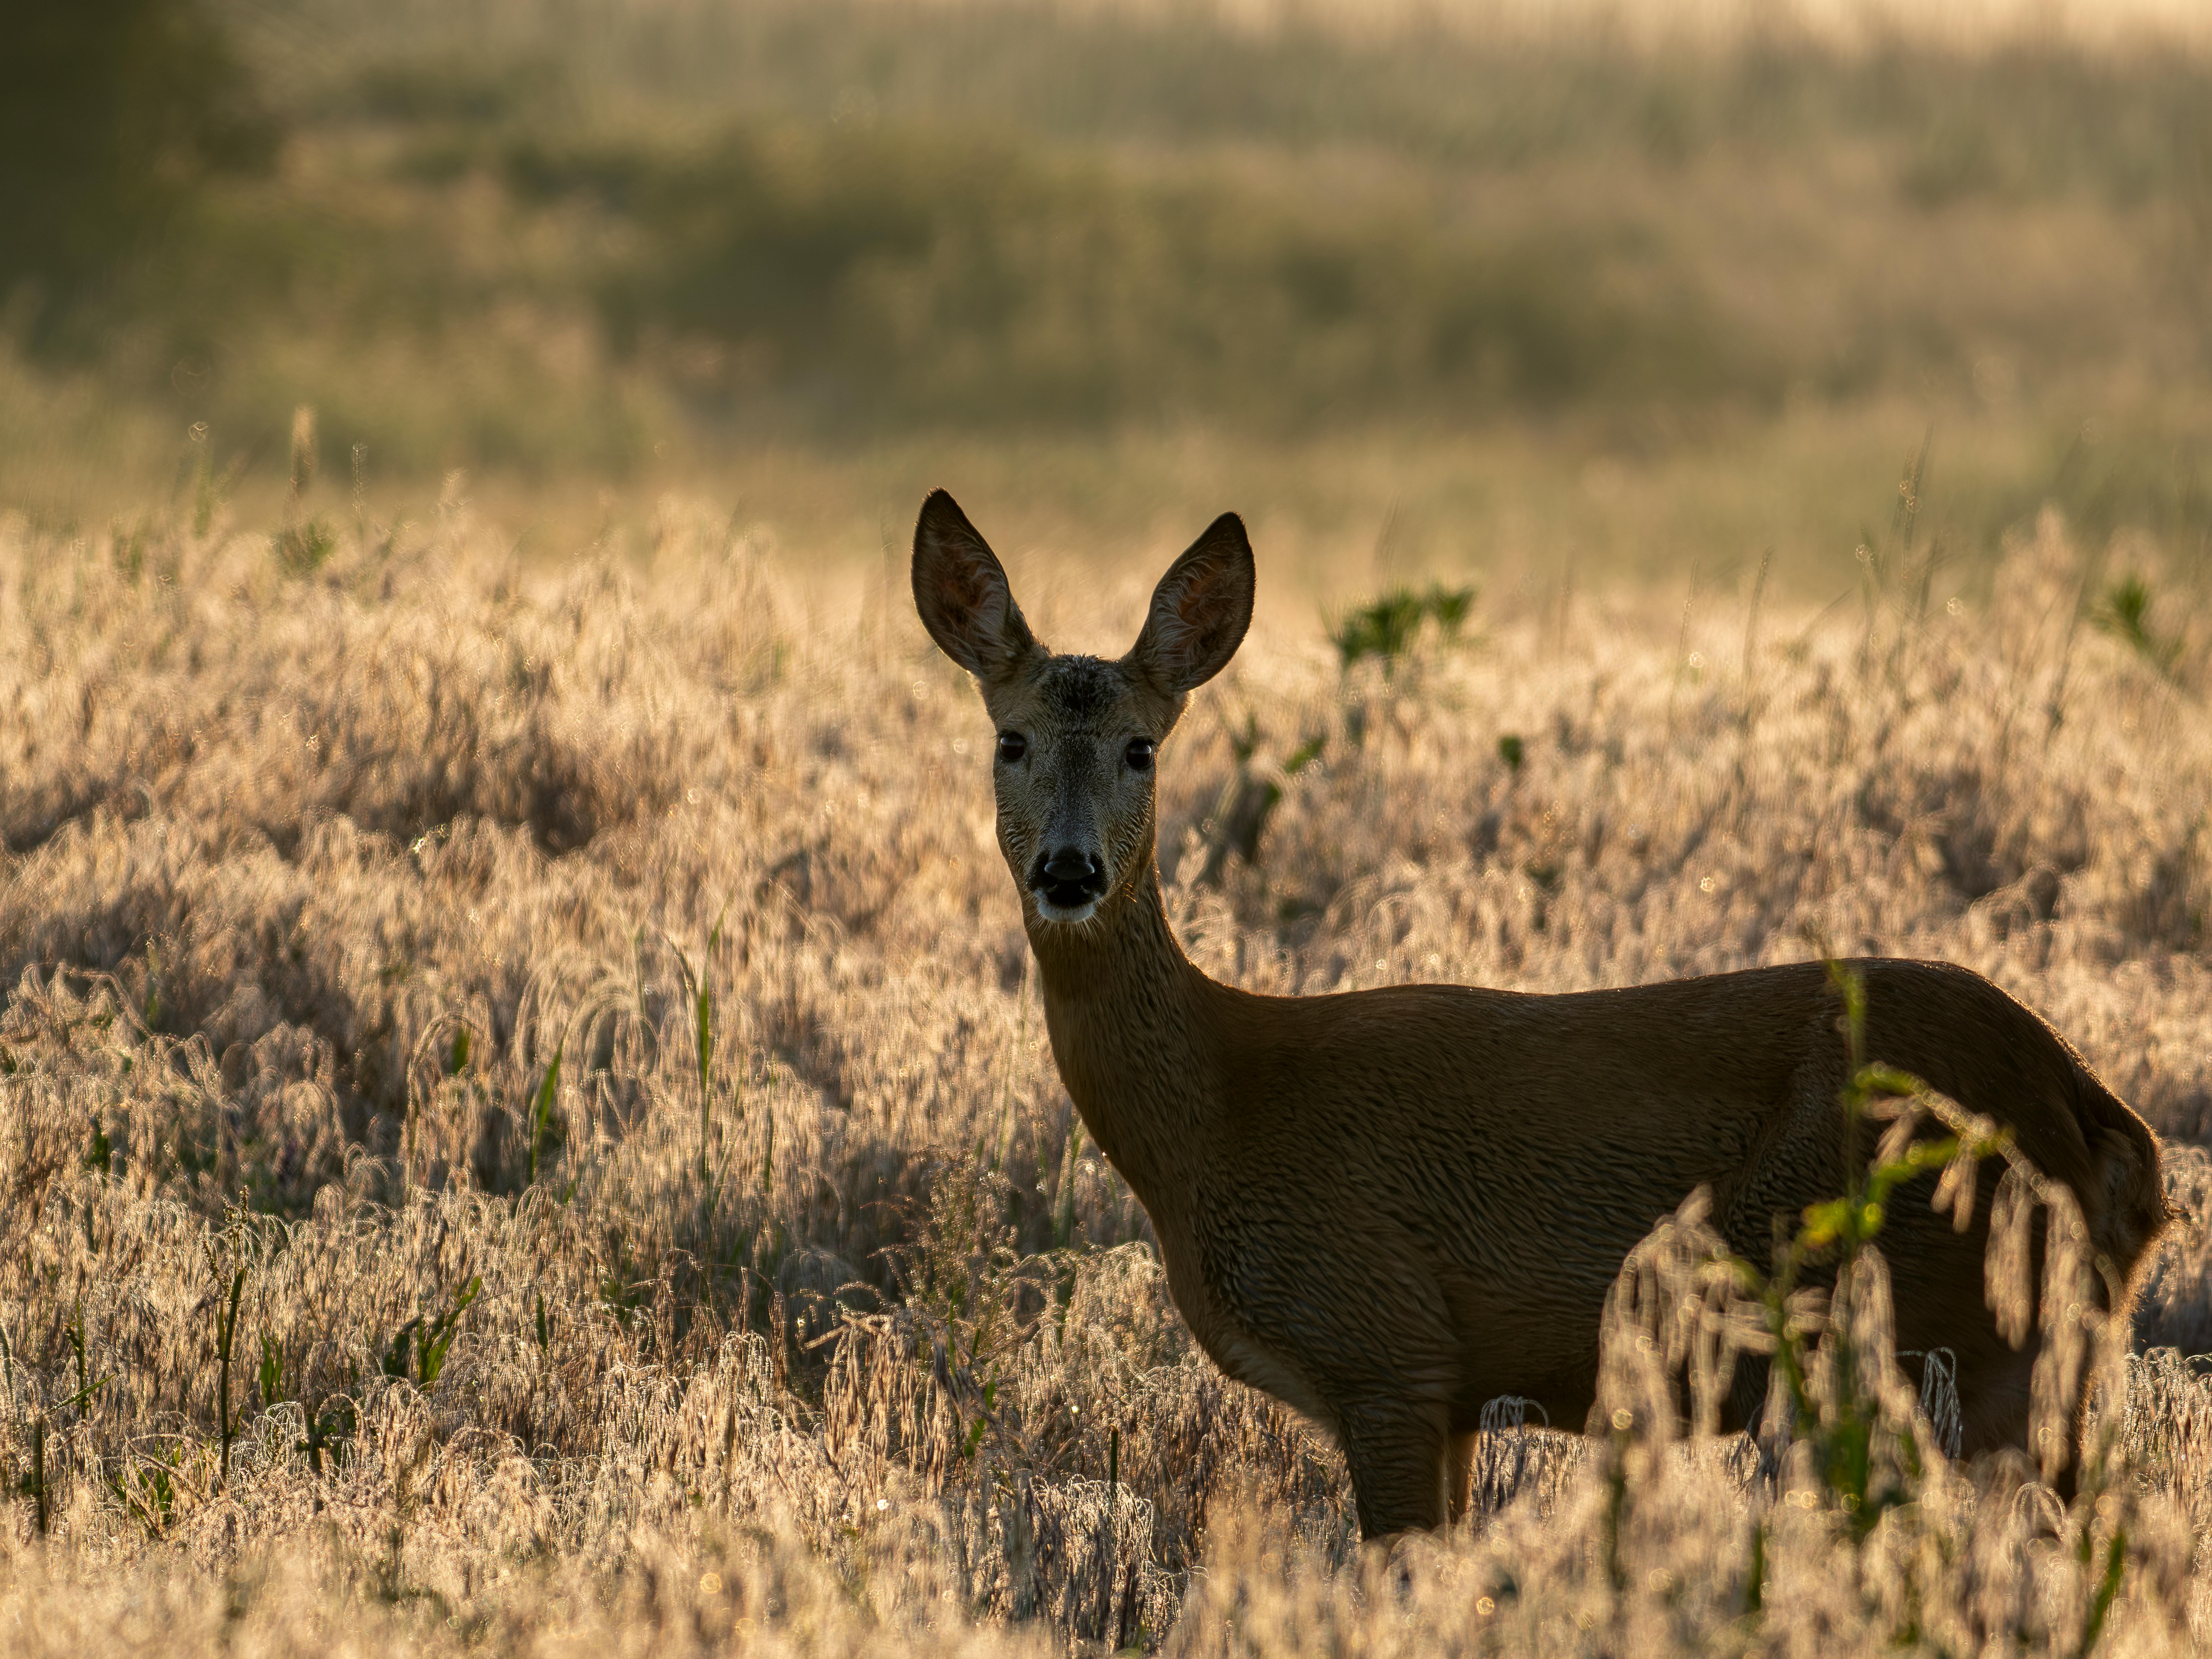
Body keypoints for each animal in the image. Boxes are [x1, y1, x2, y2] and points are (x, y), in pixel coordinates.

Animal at [909, 488, 2170, 1541]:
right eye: (1010, 739)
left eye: (1141, 746)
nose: (1069, 871)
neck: (1223, 1110)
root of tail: (2099, 1121)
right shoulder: (1456, 1389)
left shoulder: (1385, 1344)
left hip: (1963, 1313)